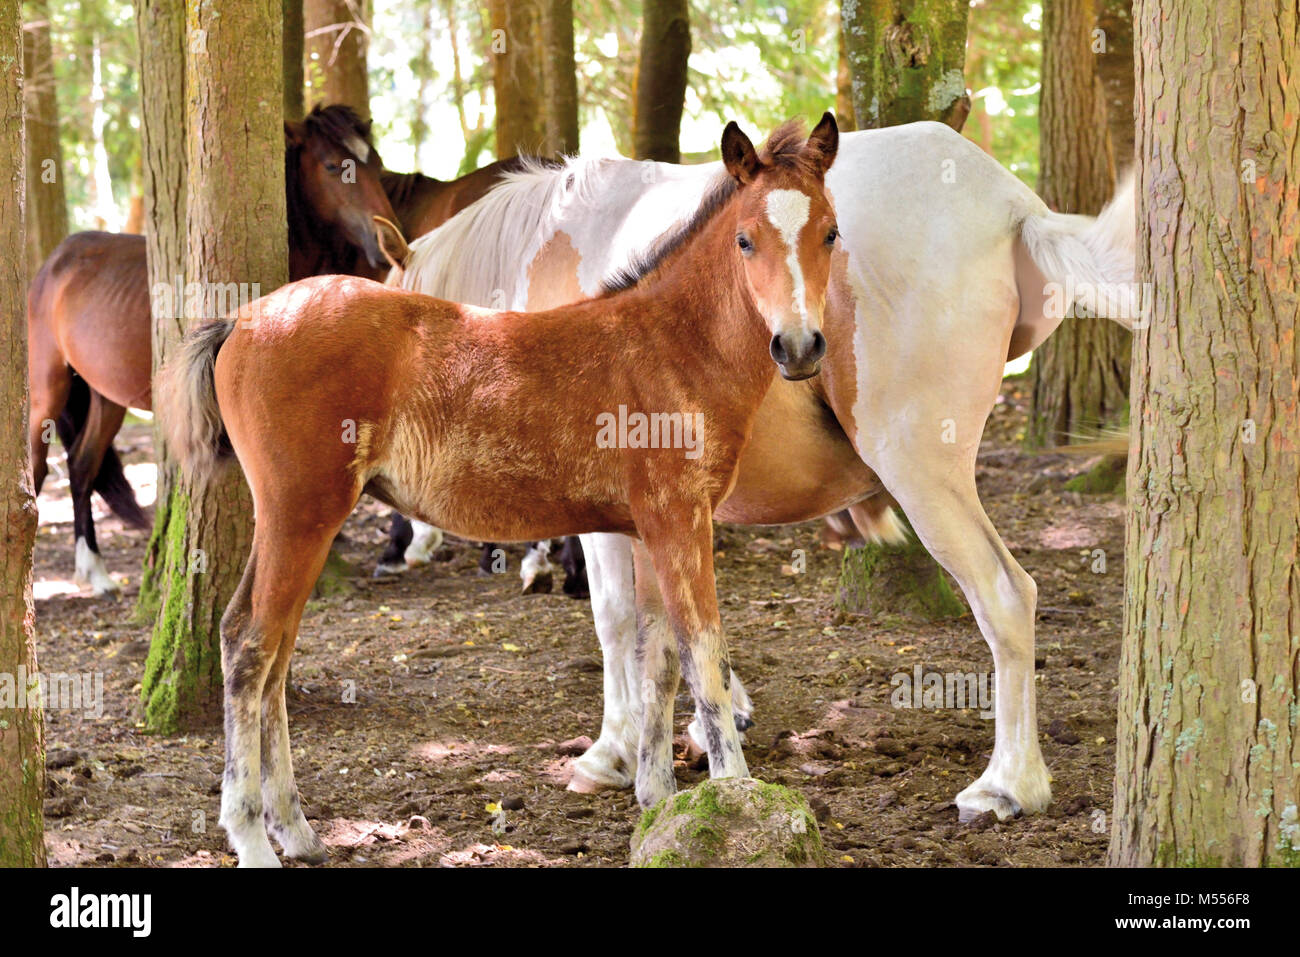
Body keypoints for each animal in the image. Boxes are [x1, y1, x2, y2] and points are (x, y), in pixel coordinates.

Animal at [30, 106, 403, 598]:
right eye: (331, 166)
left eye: (376, 163)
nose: (385, 241)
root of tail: (53, 263)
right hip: (47, 386)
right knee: (37, 469)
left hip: (105, 397)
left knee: (81, 466)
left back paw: (95, 571)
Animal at [159, 113, 842, 868]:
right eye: (746, 238)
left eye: (831, 232)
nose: (800, 346)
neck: (669, 347)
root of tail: (241, 321)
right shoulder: (681, 519)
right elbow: (704, 654)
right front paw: (736, 796)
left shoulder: (652, 528)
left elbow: (659, 654)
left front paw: (657, 797)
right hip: (299, 513)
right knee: (252, 644)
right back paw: (253, 836)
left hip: (298, 520)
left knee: (269, 646)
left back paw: (296, 828)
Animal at [395, 121, 1138, 821]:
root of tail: (1010, 202)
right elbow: (672, 635)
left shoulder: (611, 512)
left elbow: (617, 620)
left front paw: (615, 751)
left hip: (924, 473)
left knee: (1006, 596)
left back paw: (1007, 784)